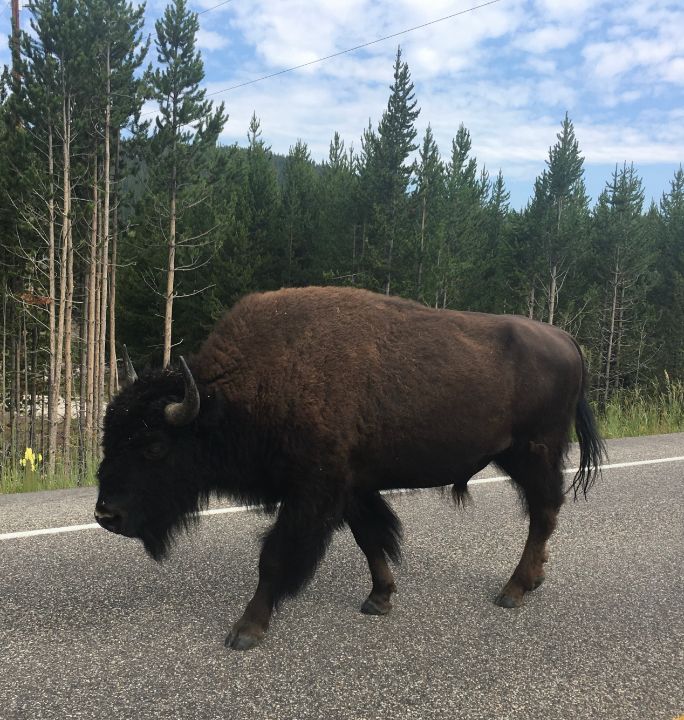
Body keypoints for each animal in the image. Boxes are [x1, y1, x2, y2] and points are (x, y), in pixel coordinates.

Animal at [95, 286, 605, 650]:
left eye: (155, 446)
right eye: (108, 435)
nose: (106, 515)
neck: (231, 397)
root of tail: (567, 340)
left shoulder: (313, 492)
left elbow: (275, 557)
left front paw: (246, 630)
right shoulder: (352, 488)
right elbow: (370, 539)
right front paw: (379, 598)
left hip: (533, 453)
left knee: (543, 513)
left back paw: (513, 590)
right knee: (544, 513)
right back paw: (530, 582)